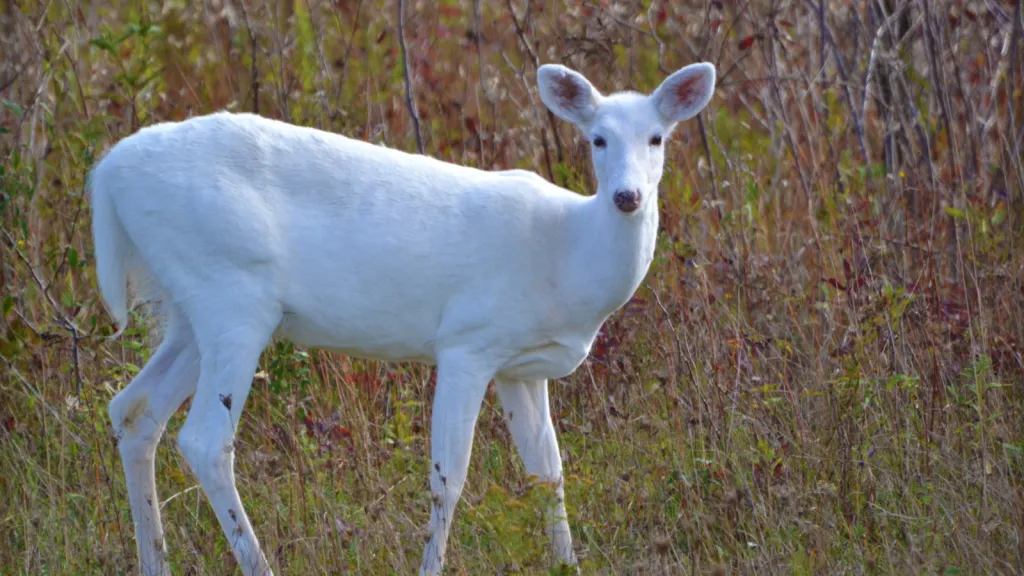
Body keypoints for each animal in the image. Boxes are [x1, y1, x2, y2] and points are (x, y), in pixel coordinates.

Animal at [90, 60, 715, 575]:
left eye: (657, 137)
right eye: (597, 138)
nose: (627, 196)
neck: (567, 256)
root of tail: (107, 174)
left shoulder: (521, 367)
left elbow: (547, 472)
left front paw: (568, 565)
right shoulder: (467, 342)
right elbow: (449, 478)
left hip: (189, 310)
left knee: (133, 410)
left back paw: (154, 562)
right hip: (232, 294)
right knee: (203, 440)